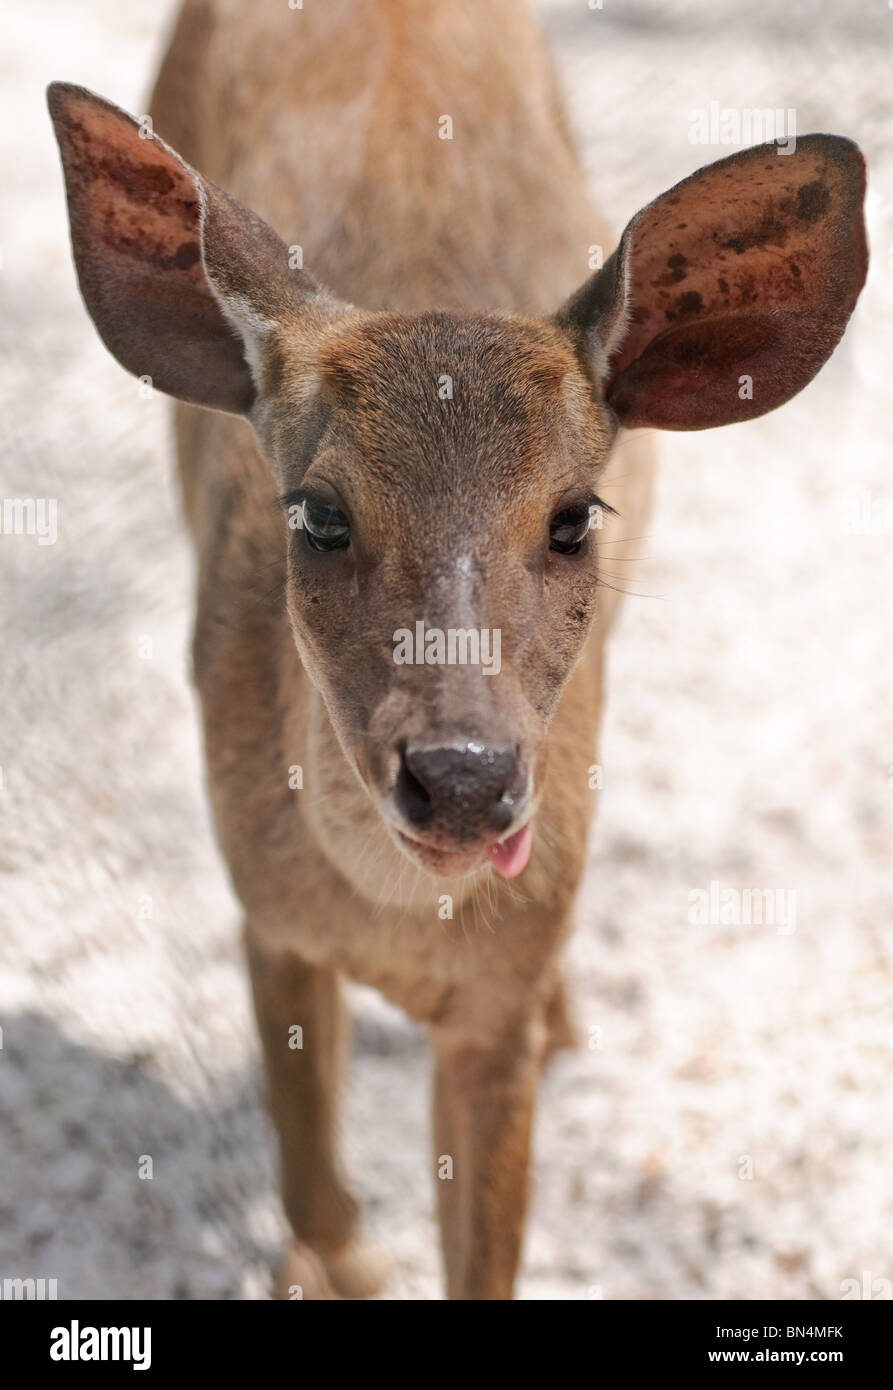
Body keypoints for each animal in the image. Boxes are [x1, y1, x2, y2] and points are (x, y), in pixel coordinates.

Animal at [48, 0, 867, 1300]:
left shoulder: (494, 1008)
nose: (464, 778)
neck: (399, 920)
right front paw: (326, 1259)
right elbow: (316, 1196)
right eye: (318, 513)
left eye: (573, 514)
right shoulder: (261, 907)